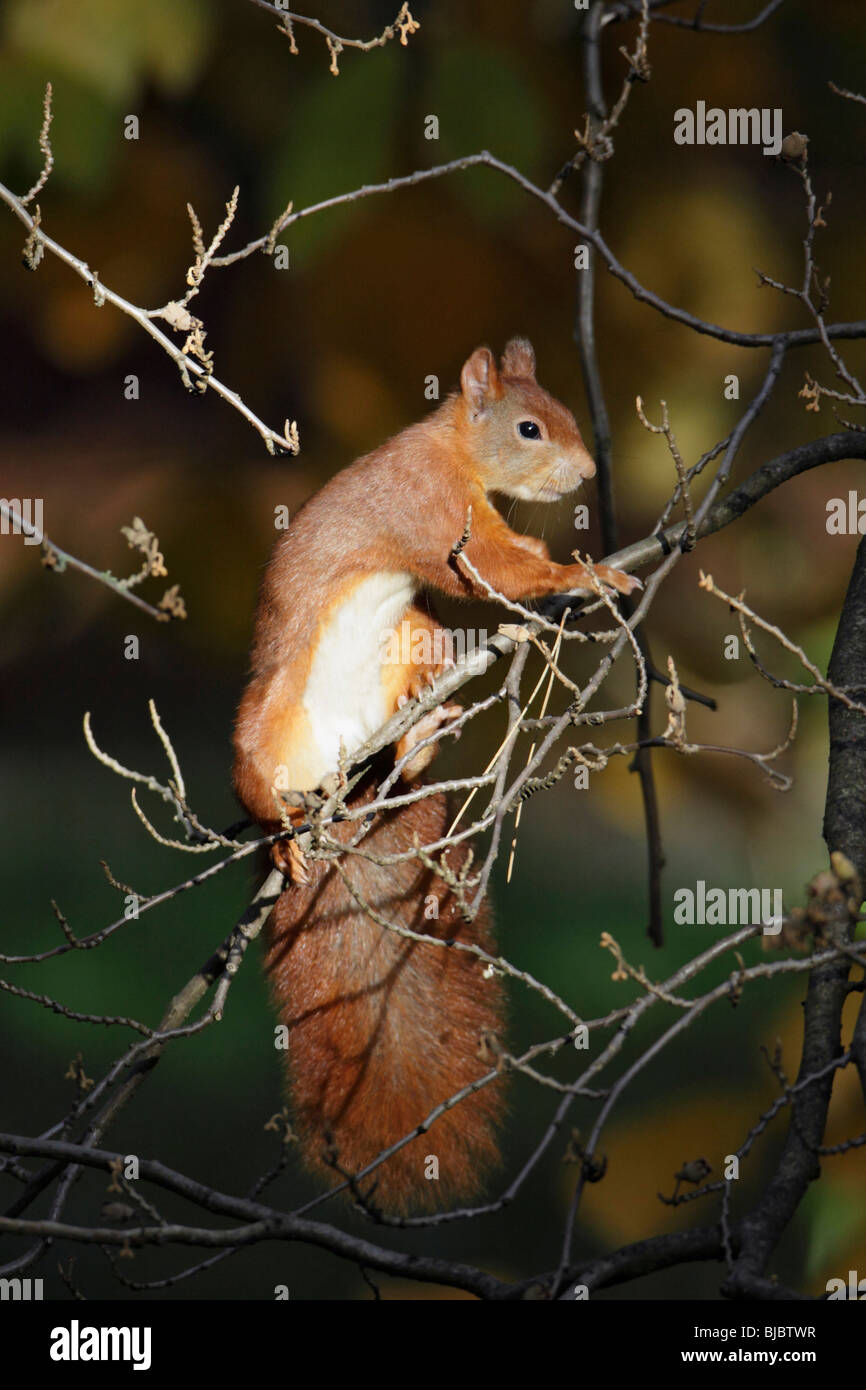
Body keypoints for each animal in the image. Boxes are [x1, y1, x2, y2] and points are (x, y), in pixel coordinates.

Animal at [232, 337, 639, 1214]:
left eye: (563, 409)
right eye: (529, 428)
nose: (587, 471)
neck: (451, 446)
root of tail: (341, 786)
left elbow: (508, 566)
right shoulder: (432, 510)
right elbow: (490, 567)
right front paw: (588, 576)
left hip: (414, 637)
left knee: (409, 720)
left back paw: (421, 734)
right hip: (263, 726)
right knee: (256, 785)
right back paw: (282, 835)